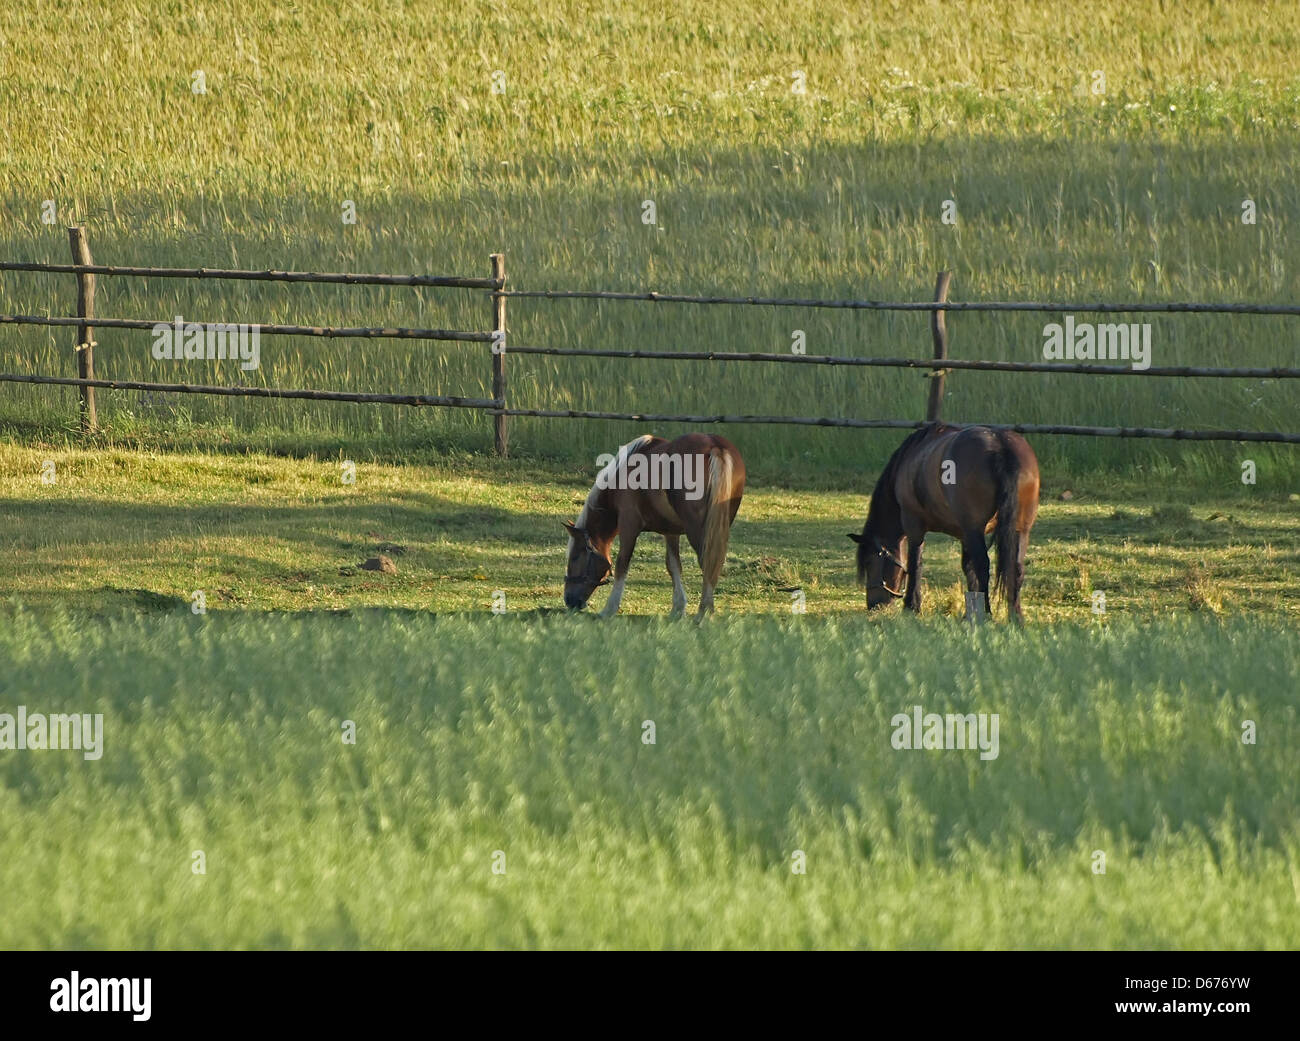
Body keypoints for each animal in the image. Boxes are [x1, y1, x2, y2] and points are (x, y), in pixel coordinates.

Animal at [563, 433, 746, 618]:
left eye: (575, 556)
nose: (569, 600)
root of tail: (715, 446)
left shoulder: (629, 526)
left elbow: (622, 564)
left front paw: (609, 609)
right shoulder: (671, 532)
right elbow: (673, 566)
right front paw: (678, 608)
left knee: (707, 564)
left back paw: (703, 614)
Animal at [848, 423, 1040, 621]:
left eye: (869, 562)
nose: (873, 605)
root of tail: (1001, 445)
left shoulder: (914, 523)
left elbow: (915, 563)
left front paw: (911, 606)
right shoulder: (965, 534)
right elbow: (968, 568)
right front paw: (969, 610)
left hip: (975, 529)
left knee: (983, 566)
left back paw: (985, 614)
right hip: (1020, 530)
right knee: (1015, 568)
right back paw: (1015, 616)